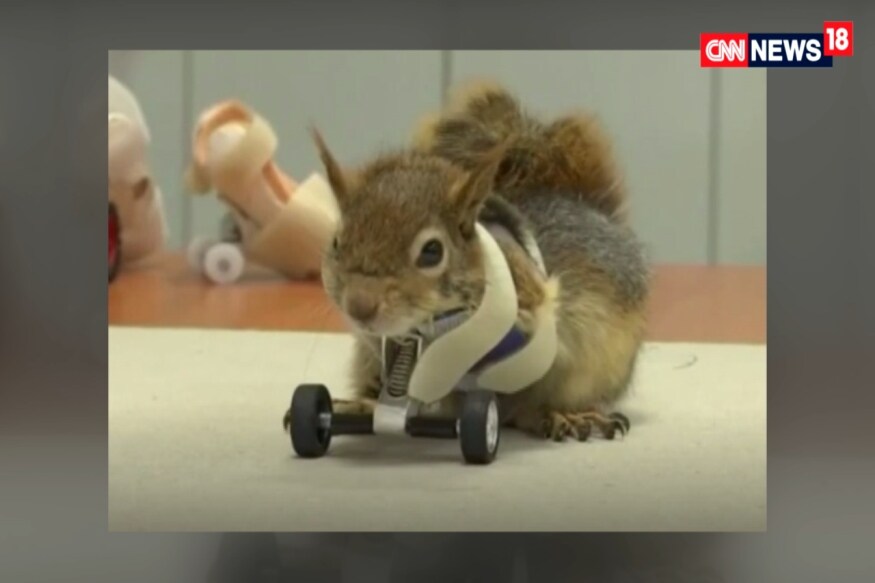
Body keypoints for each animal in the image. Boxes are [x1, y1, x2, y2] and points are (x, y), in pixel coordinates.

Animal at [284, 81, 650, 442]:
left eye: (432, 251)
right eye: (336, 241)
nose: (360, 307)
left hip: (591, 369)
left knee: (528, 409)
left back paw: (563, 415)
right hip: (367, 363)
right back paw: (361, 404)